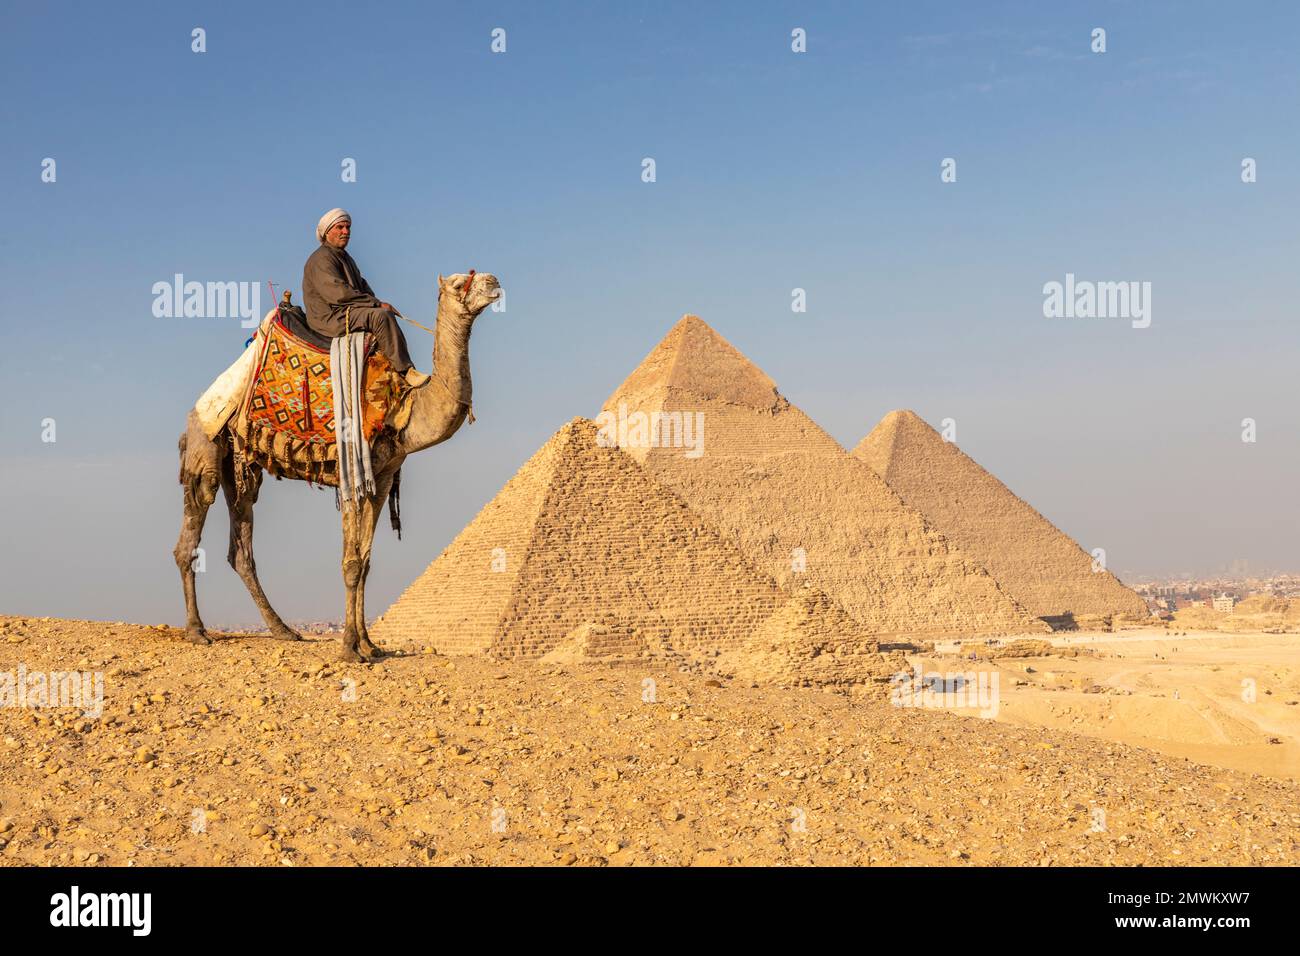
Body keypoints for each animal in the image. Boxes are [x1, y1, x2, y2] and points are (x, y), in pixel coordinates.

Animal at [173, 272, 502, 662]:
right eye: (457, 283)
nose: (493, 281)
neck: (404, 407)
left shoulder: (382, 478)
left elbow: (366, 562)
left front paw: (370, 645)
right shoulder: (352, 471)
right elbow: (351, 563)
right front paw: (349, 648)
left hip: (240, 467)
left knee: (241, 545)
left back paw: (284, 630)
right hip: (206, 444)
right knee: (192, 529)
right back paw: (196, 630)